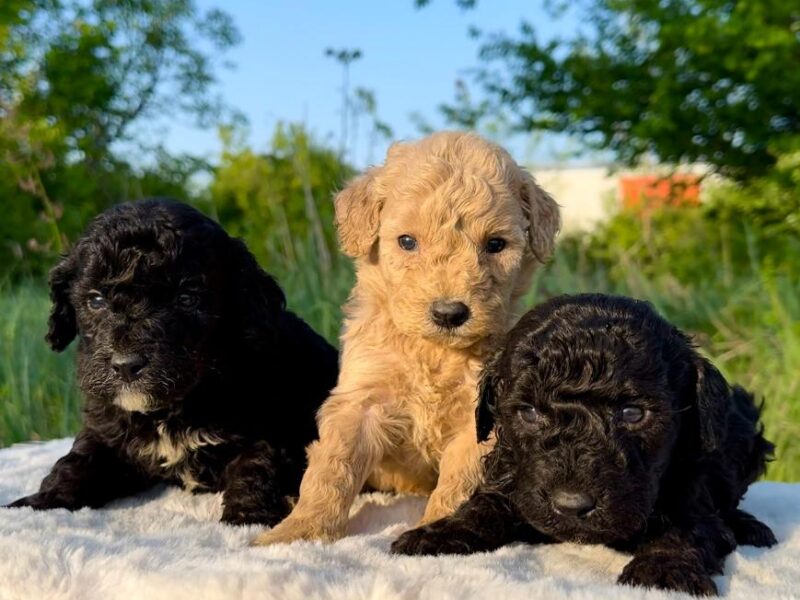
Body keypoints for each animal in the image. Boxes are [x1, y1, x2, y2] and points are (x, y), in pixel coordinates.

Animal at [6, 198, 338, 524]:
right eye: (95, 300)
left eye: (186, 299)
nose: (126, 365)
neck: (173, 408)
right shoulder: (106, 430)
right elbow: (77, 461)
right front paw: (38, 502)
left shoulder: (268, 429)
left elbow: (257, 466)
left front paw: (247, 515)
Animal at [253, 131, 560, 544]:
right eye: (407, 241)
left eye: (495, 244)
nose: (449, 313)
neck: (433, 351)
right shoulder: (361, 399)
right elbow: (332, 468)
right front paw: (300, 529)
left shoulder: (477, 419)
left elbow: (458, 482)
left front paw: (436, 529)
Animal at [394, 294, 776, 596]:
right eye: (529, 413)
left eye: (632, 413)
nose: (572, 505)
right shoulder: (512, 475)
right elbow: (484, 504)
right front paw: (440, 533)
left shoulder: (691, 487)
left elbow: (686, 526)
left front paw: (665, 568)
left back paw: (749, 526)